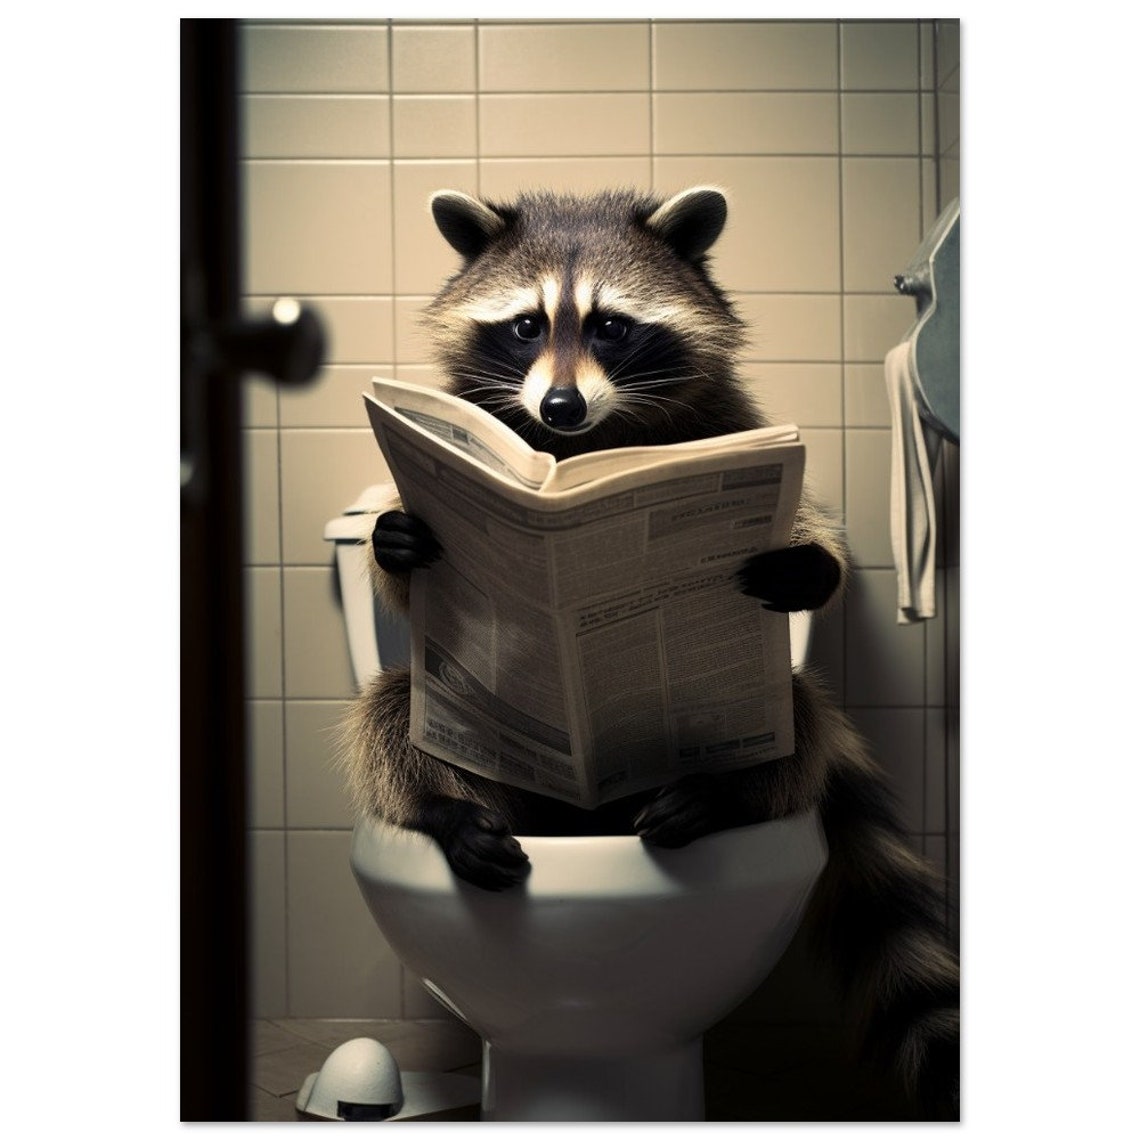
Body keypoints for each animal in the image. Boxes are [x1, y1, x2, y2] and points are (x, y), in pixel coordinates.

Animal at [342, 187, 959, 1119]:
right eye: (525, 325)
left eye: (610, 327)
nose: (560, 407)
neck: (580, 447)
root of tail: (584, 819)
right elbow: (413, 589)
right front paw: (398, 539)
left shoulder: (731, 428)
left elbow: (810, 534)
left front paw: (810, 565)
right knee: (390, 701)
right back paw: (445, 811)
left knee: (801, 710)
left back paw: (719, 796)